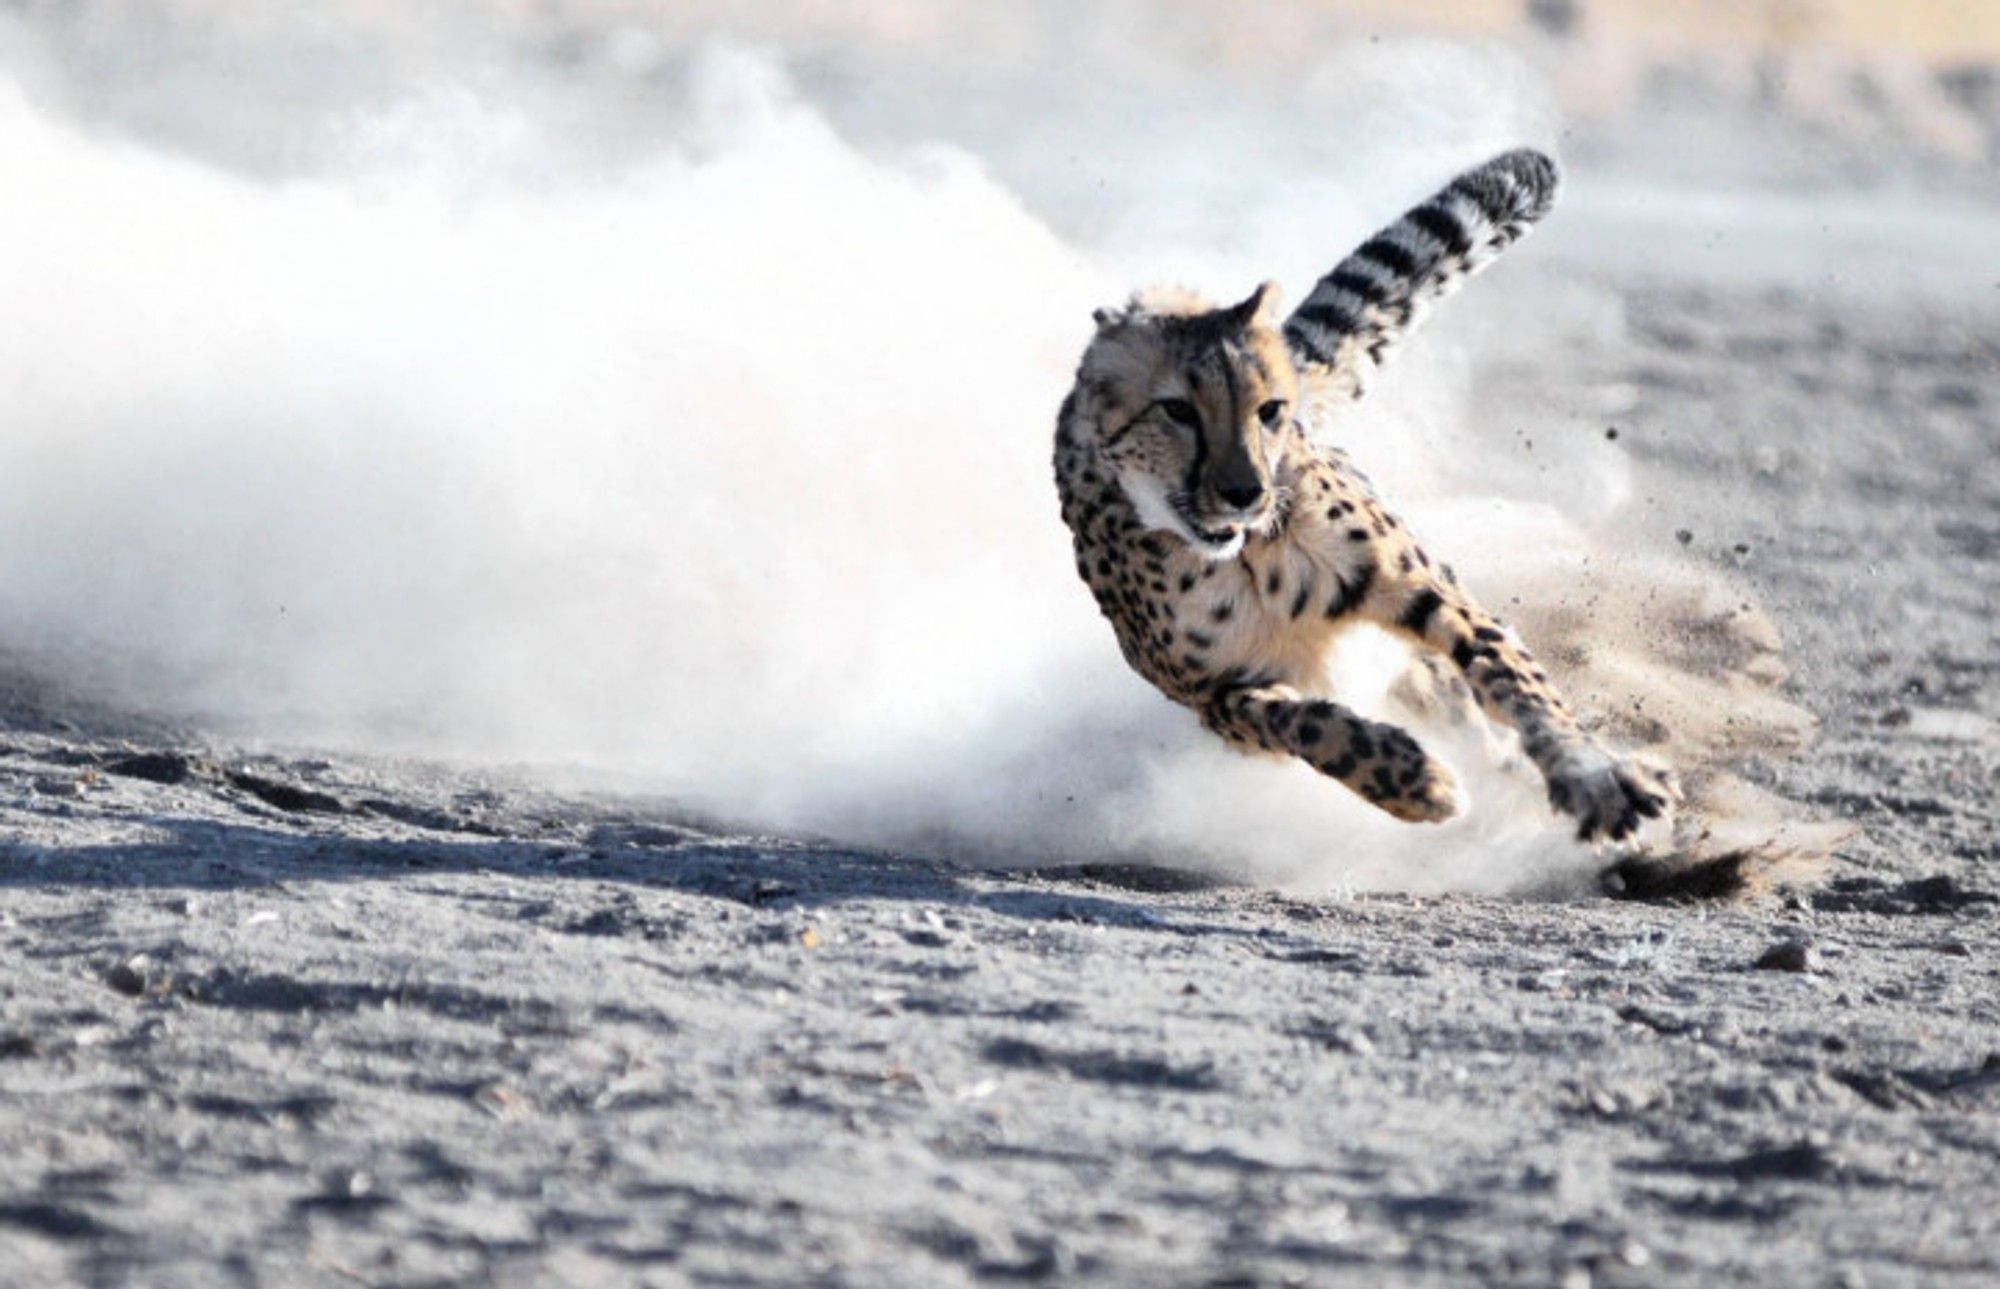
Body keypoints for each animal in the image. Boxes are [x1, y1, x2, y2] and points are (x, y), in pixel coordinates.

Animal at [1052, 149, 1677, 843]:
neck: (1240, 558)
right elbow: (1310, 725)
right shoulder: (1217, 697)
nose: (1245, 493)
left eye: (1269, 411)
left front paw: (1593, 776)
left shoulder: (1426, 592)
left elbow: (1511, 675)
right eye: (1178, 411)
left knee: (1476, 722)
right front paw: (1414, 781)